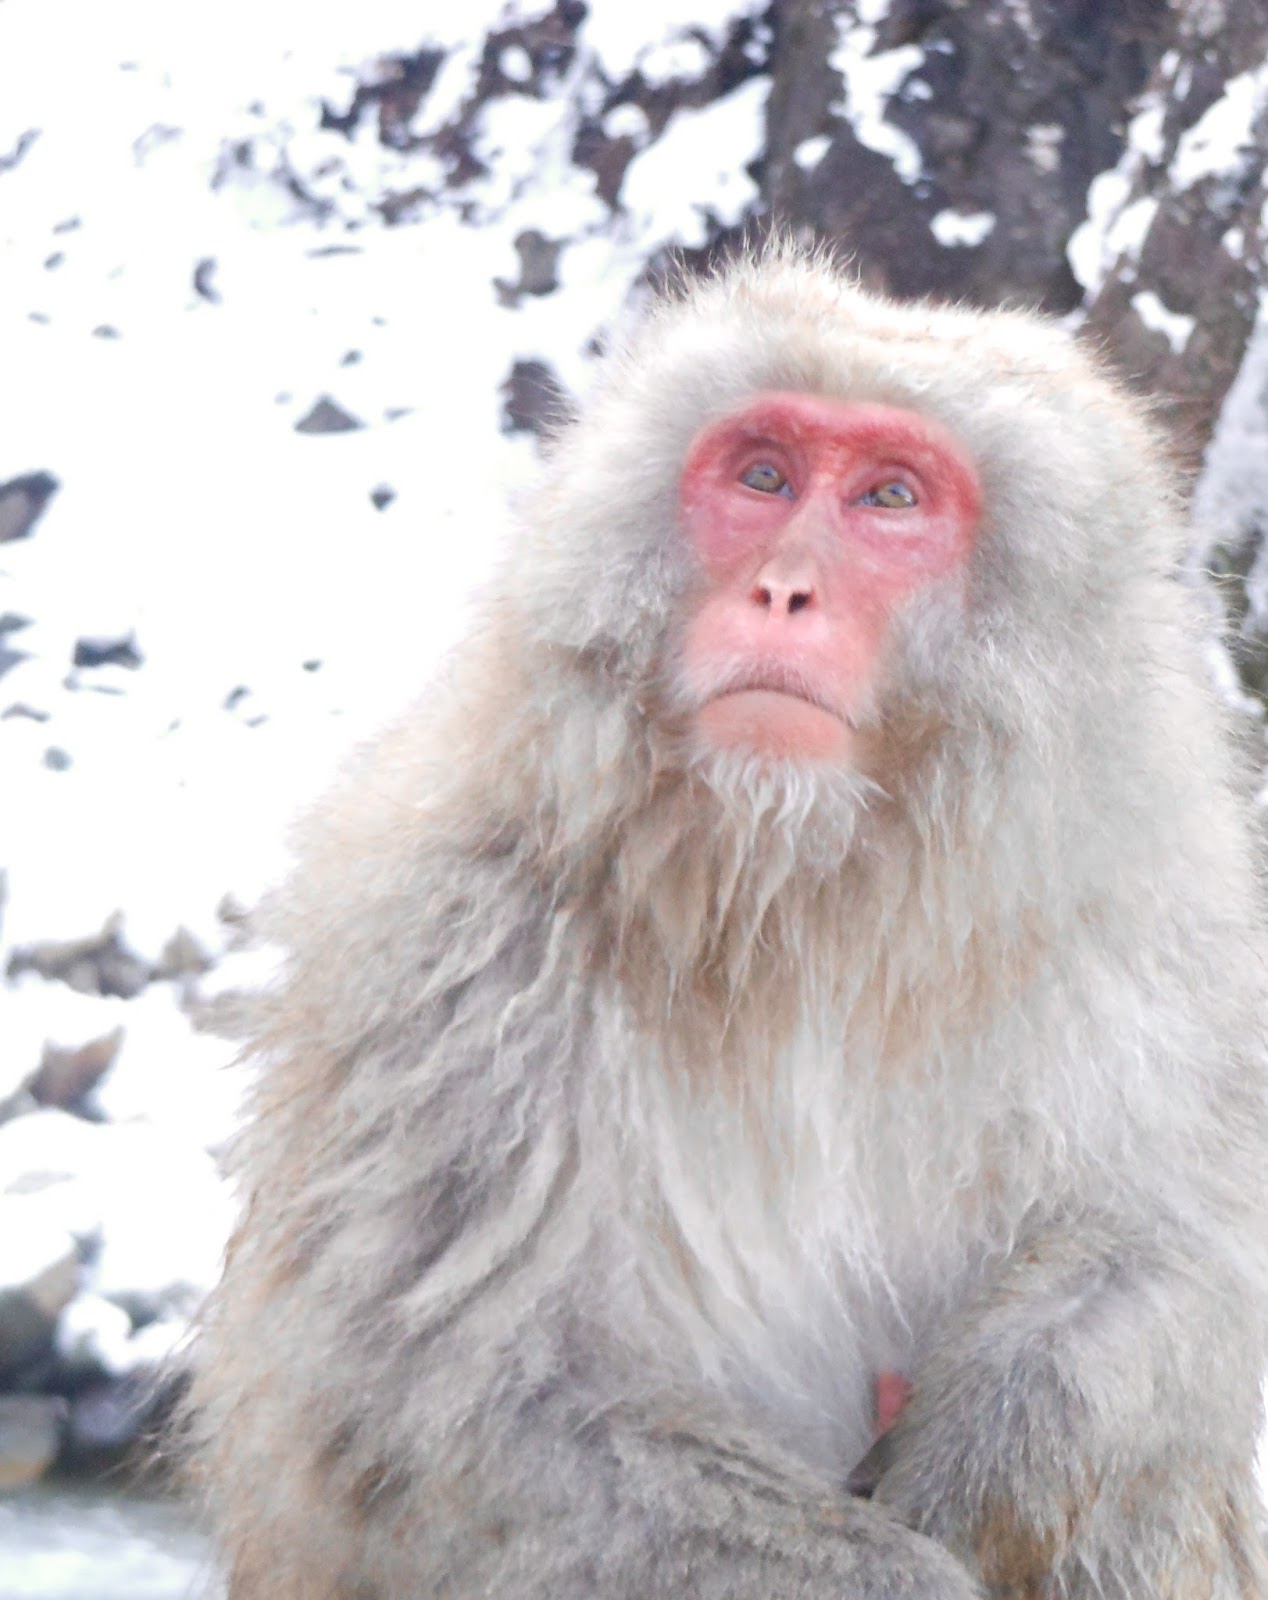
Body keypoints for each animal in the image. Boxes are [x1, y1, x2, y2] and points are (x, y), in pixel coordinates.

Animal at [187, 245, 1268, 1600]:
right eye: (763, 477)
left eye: (889, 496)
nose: (782, 587)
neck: (801, 904)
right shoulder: (436, 943)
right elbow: (440, 1399)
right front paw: (904, 1578)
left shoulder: (1153, 932)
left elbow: (1174, 1242)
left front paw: (991, 1436)